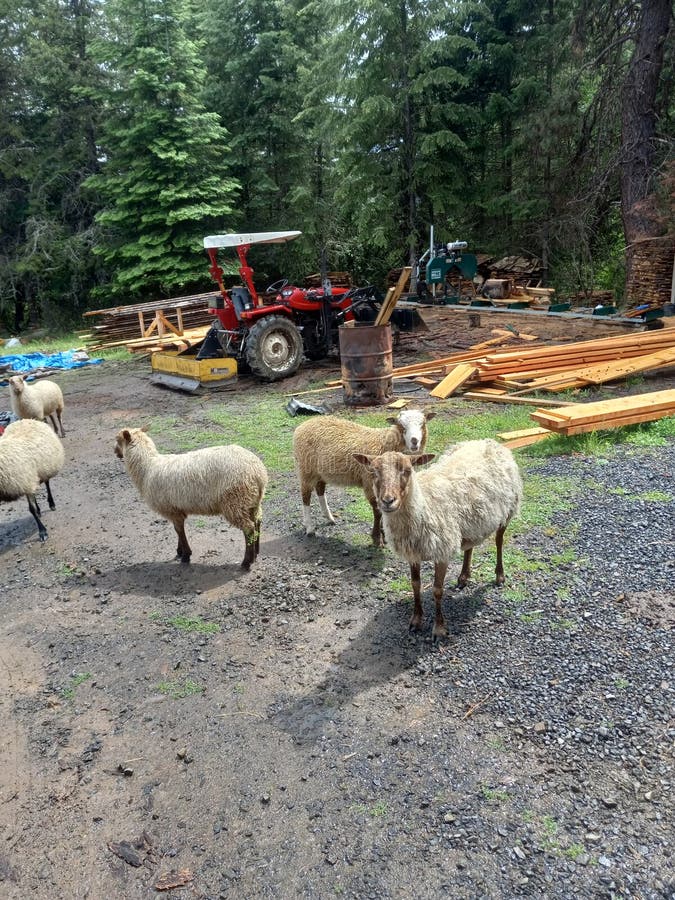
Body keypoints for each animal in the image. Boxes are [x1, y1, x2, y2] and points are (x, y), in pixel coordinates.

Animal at [114, 427, 268, 569]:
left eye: (117, 440)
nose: (115, 452)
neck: (147, 468)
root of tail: (258, 473)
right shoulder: (176, 508)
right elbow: (178, 530)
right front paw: (180, 551)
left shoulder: (171, 509)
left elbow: (179, 530)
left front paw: (185, 555)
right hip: (251, 501)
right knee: (257, 522)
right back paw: (256, 553)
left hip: (235, 501)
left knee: (248, 528)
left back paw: (246, 562)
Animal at [293, 408, 435, 546]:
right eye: (401, 426)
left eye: (423, 424)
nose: (414, 441)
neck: (385, 443)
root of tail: (303, 425)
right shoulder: (369, 484)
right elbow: (377, 511)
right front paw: (377, 538)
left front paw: (383, 535)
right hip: (306, 469)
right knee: (305, 496)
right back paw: (310, 528)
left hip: (320, 472)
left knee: (320, 489)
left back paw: (329, 518)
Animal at [354, 439, 523, 638]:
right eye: (373, 472)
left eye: (408, 470)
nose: (388, 501)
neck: (424, 505)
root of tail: (489, 441)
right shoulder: (413, 552)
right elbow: (415, 585)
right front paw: (416, 620)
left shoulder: (442, 551)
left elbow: (437, 590)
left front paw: (439, 628)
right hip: (471, 521)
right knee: (470, 546)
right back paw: (464, 576)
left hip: (508, 509)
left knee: (499, 541)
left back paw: (499, 575)